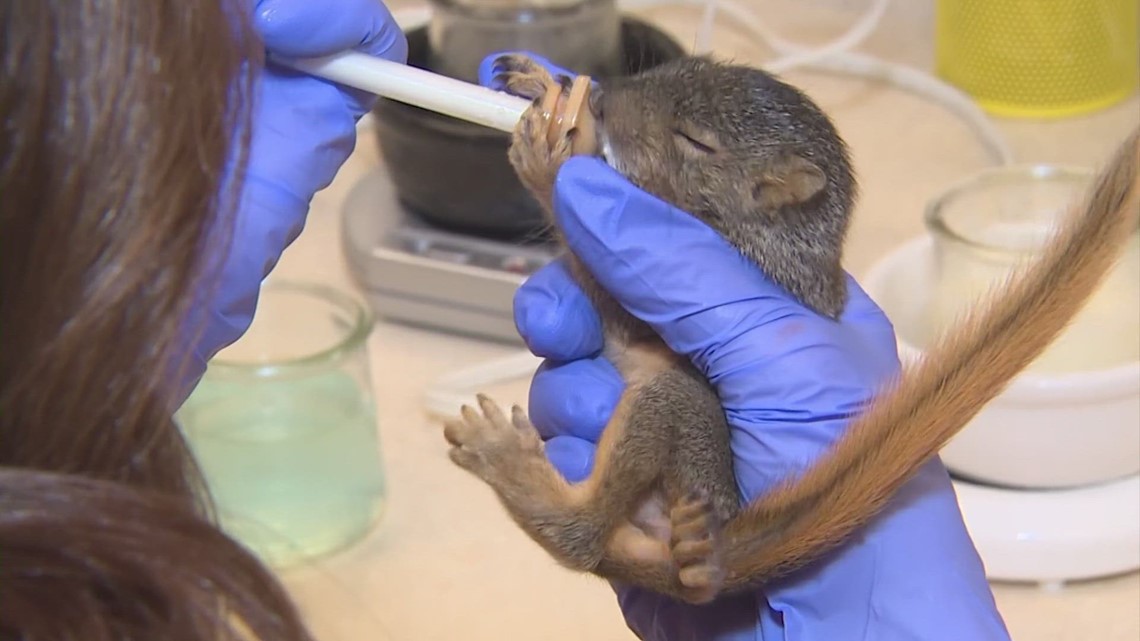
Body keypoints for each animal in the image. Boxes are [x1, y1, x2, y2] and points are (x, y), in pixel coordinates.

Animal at [442, 53, 1140, 604]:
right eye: (679, 67)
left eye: (697, 142)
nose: (606, 98)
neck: (769, 234)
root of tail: (714, 547)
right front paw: (547, 83)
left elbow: (609, 278)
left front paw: (559, 152)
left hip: (677, 413)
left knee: (582, 538)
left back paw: (513, 468)